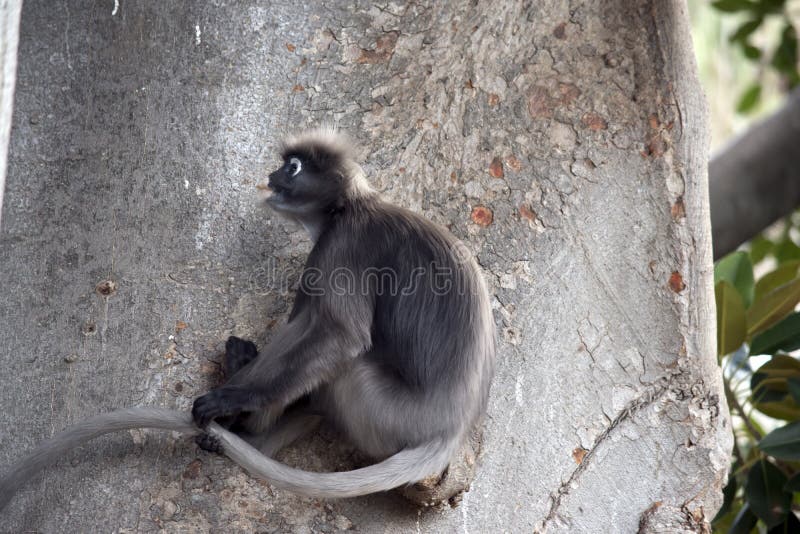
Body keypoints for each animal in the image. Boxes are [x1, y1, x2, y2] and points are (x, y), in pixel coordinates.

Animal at [0, 127, 495, 511]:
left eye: (293, 167)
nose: (273, 175)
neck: (349, 208)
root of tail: (448, 432)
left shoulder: (343, 248)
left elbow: (340, 335)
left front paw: (235, 399)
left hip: (385, 411)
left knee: (336, 355)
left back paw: (248, 424)